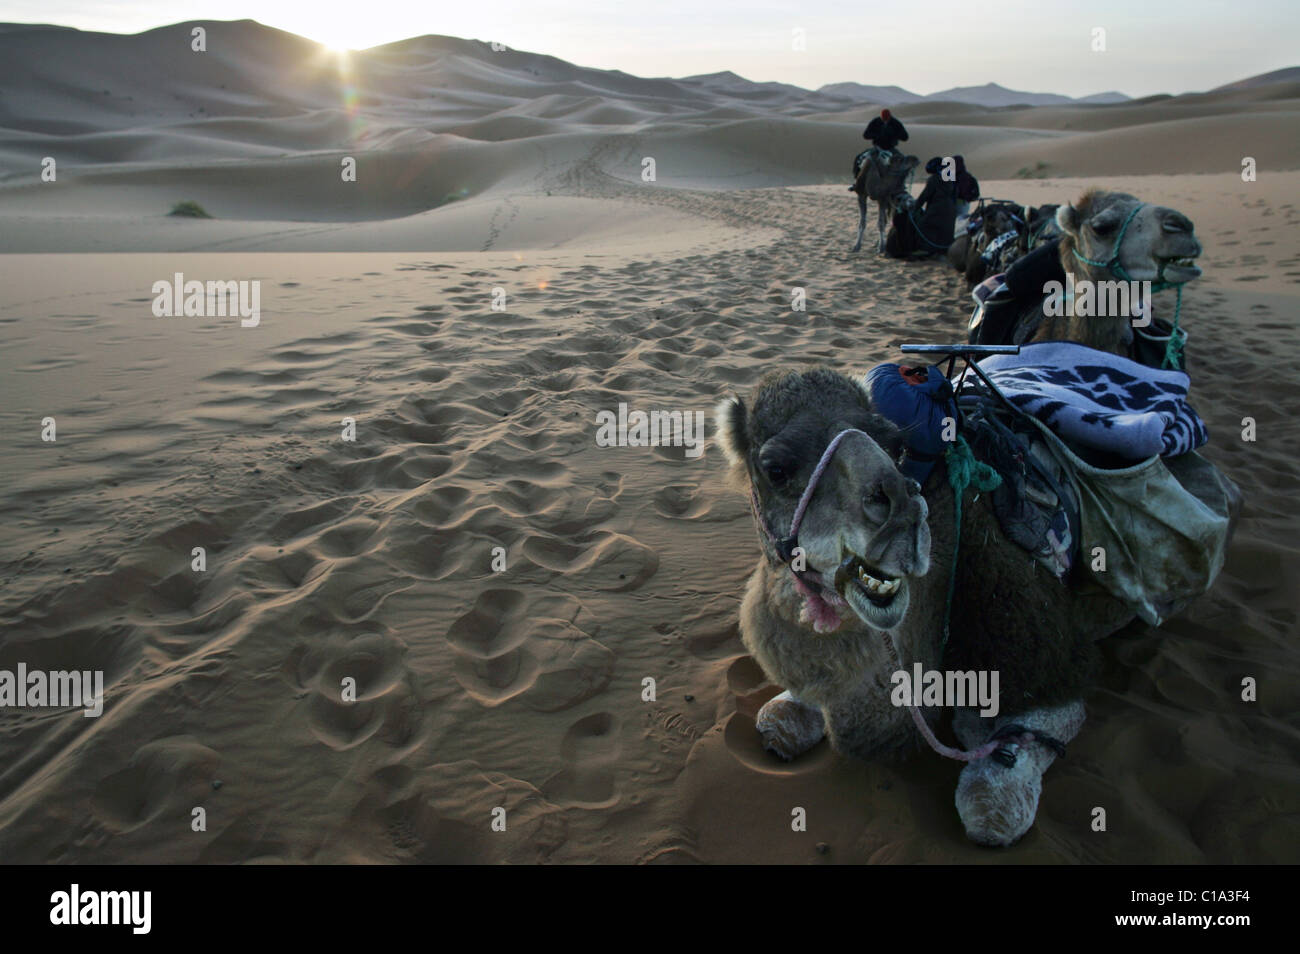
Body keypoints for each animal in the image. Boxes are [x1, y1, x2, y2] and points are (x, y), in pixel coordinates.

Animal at [716, 366, 1236, 846]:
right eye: (776, 468)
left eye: (895, 445)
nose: (900, 516)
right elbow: (780, 714)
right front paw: (789, 709)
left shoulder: (1035, 642)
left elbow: (995, 792)